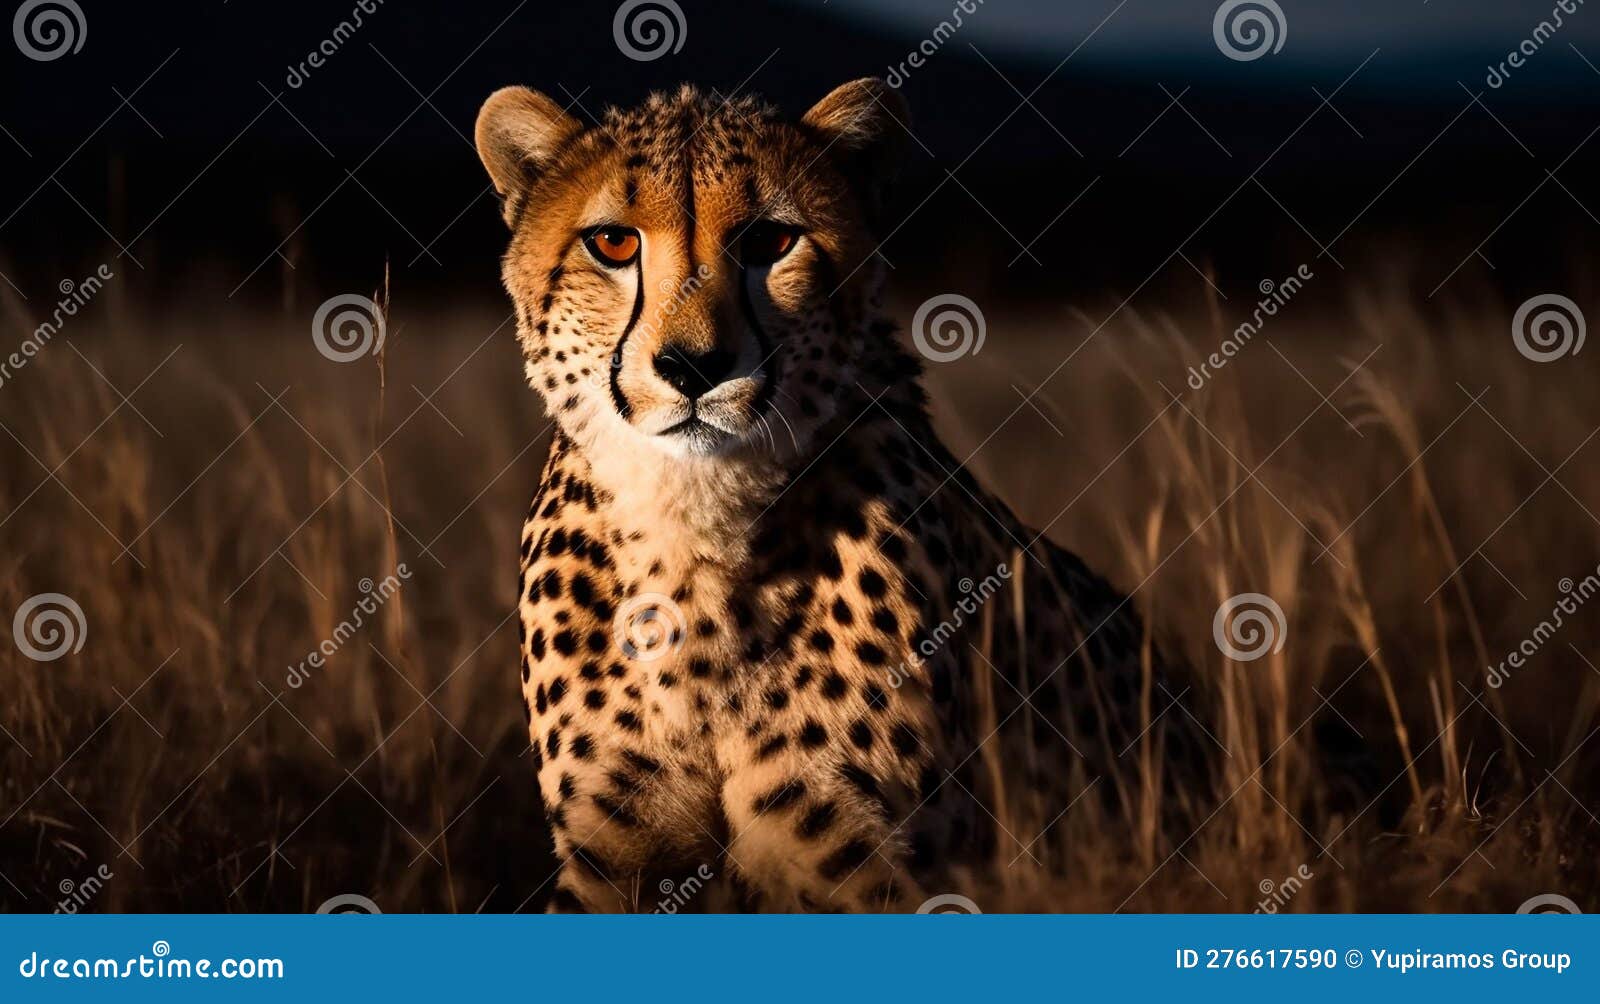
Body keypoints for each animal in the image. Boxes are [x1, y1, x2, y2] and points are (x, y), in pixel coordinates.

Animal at [474, 78, 1188, 913]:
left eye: (770, 242)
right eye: (614, 244)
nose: (693, 366)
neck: (695, 532)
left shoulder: (864, 864)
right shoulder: (616, 861)